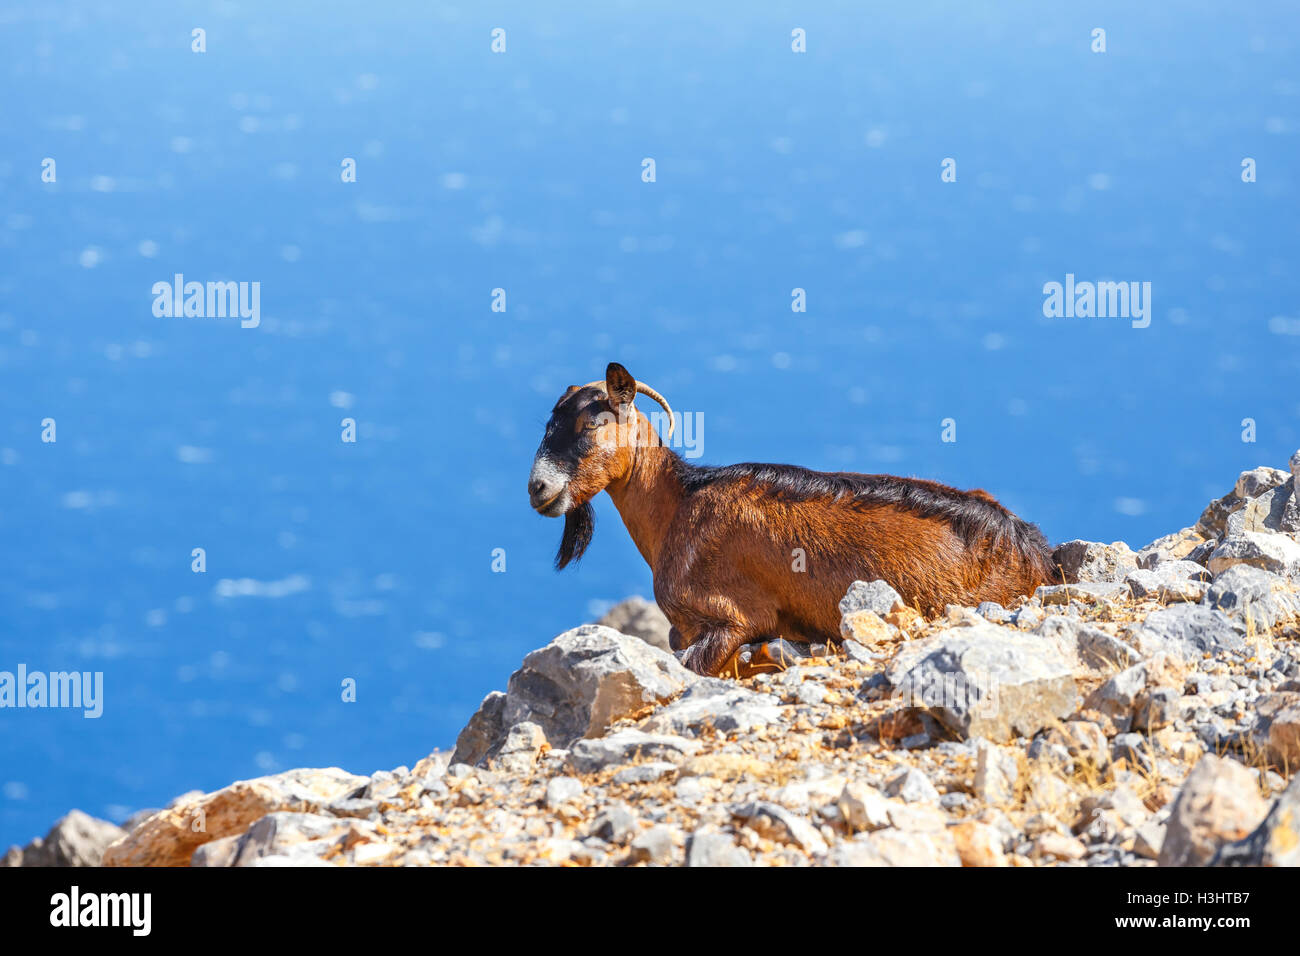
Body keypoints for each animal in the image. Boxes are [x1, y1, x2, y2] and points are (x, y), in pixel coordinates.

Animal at [528, 362, 1058, 676]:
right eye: (549, 423)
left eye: (592, 422)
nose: (538, 488)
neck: (679, 506)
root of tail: (1035, 550)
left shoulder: (731, 619)